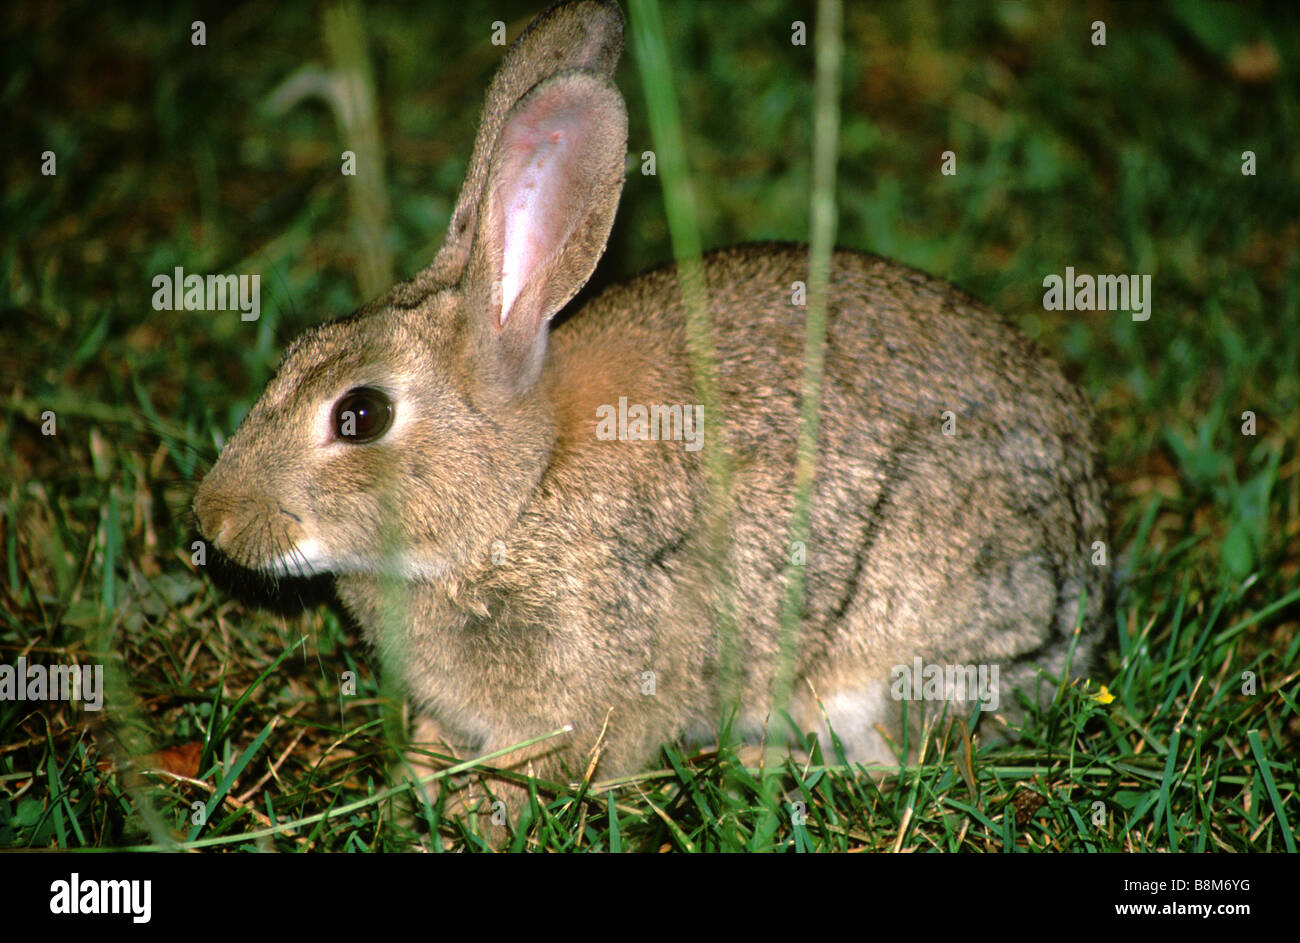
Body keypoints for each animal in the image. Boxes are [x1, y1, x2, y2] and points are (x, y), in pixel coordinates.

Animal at [193, 0, 1110, 833]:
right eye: (298, 348)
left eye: (360, 415)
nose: (213, 516)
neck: (518, 495)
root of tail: (1089, 582)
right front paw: (421, 765)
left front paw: (477, 806)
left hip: (891, 645)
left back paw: (758, 762)